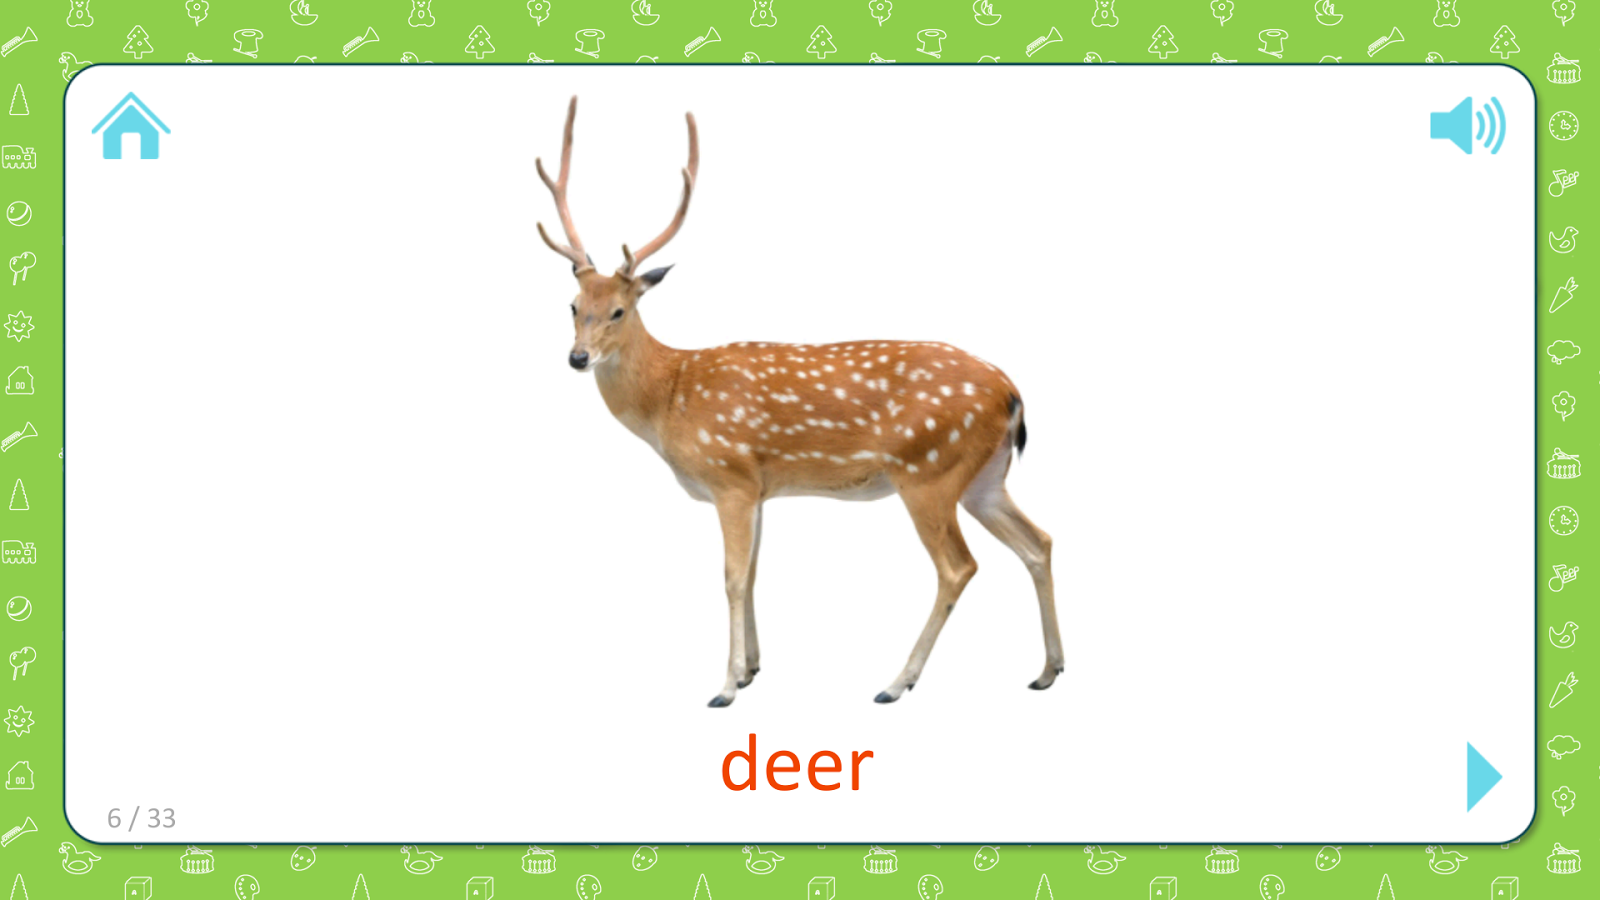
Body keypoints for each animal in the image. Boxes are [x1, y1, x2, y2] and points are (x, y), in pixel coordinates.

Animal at [535, 96, 1061, 707]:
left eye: (619, 311)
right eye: (573, 306)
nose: (577, 358)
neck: (671, 397)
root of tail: (1011, 392)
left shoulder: (730, 476)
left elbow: (732, 577)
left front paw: (725, 687)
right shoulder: (760, 487)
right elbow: (755, 573)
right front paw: (751, 669)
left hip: (928, 470)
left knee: (958, 567)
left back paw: (896, 682)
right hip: (985, 476)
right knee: (1038, 542)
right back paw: (1048, 669)